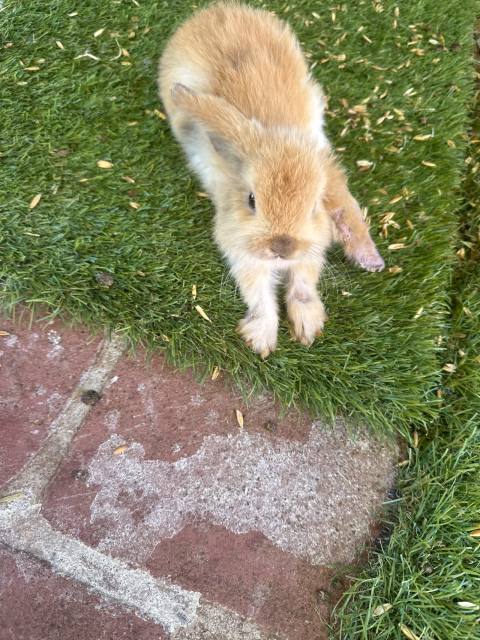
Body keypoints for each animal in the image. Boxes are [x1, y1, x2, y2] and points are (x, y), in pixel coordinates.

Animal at [158, 1, 384, 358]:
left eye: (313, 208)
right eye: (252, 200)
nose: (281, 247)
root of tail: (219, 9)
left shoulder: (310, 248)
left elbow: (303, 283)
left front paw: (307, 327)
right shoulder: (241, 250)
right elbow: (259, 293)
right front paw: (262, 339)